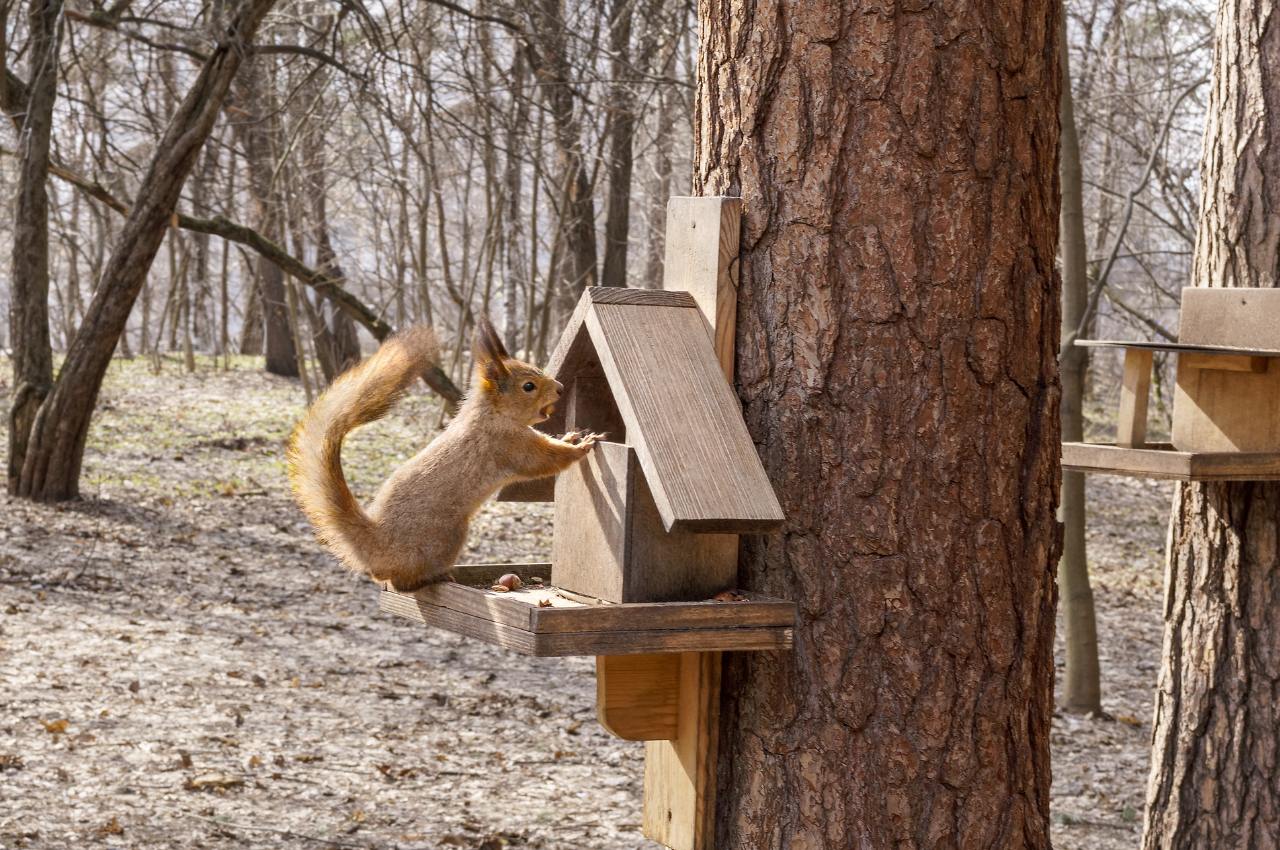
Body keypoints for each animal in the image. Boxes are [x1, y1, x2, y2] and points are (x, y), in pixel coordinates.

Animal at [287, 318, 602, 592]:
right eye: (528, 386)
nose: (560, 389)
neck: (491, 413)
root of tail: (375, 546)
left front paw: (572, 435)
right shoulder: (508, 445)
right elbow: (545, 459)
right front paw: (581, 446)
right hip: (448, 537)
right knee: (399, 581)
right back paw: (432, 578)